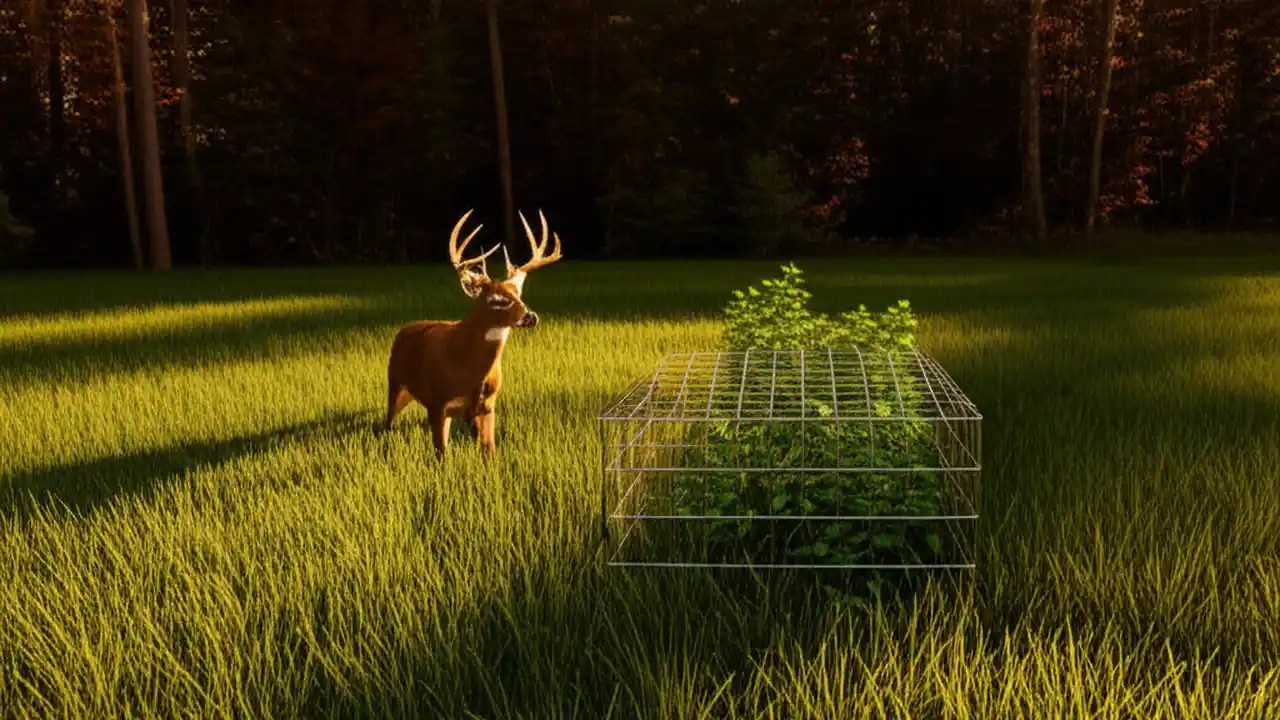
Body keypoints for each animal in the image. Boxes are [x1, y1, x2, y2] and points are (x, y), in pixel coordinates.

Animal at [384, 208, 563, 456]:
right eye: (497, 300)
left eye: (518, 295)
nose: (531, 316)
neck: (466, 368)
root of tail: (404, 328)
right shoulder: (437, 402)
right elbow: (441, 453)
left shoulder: (488, 405)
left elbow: (490, 450)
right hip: (395, 382)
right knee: (386, 423)